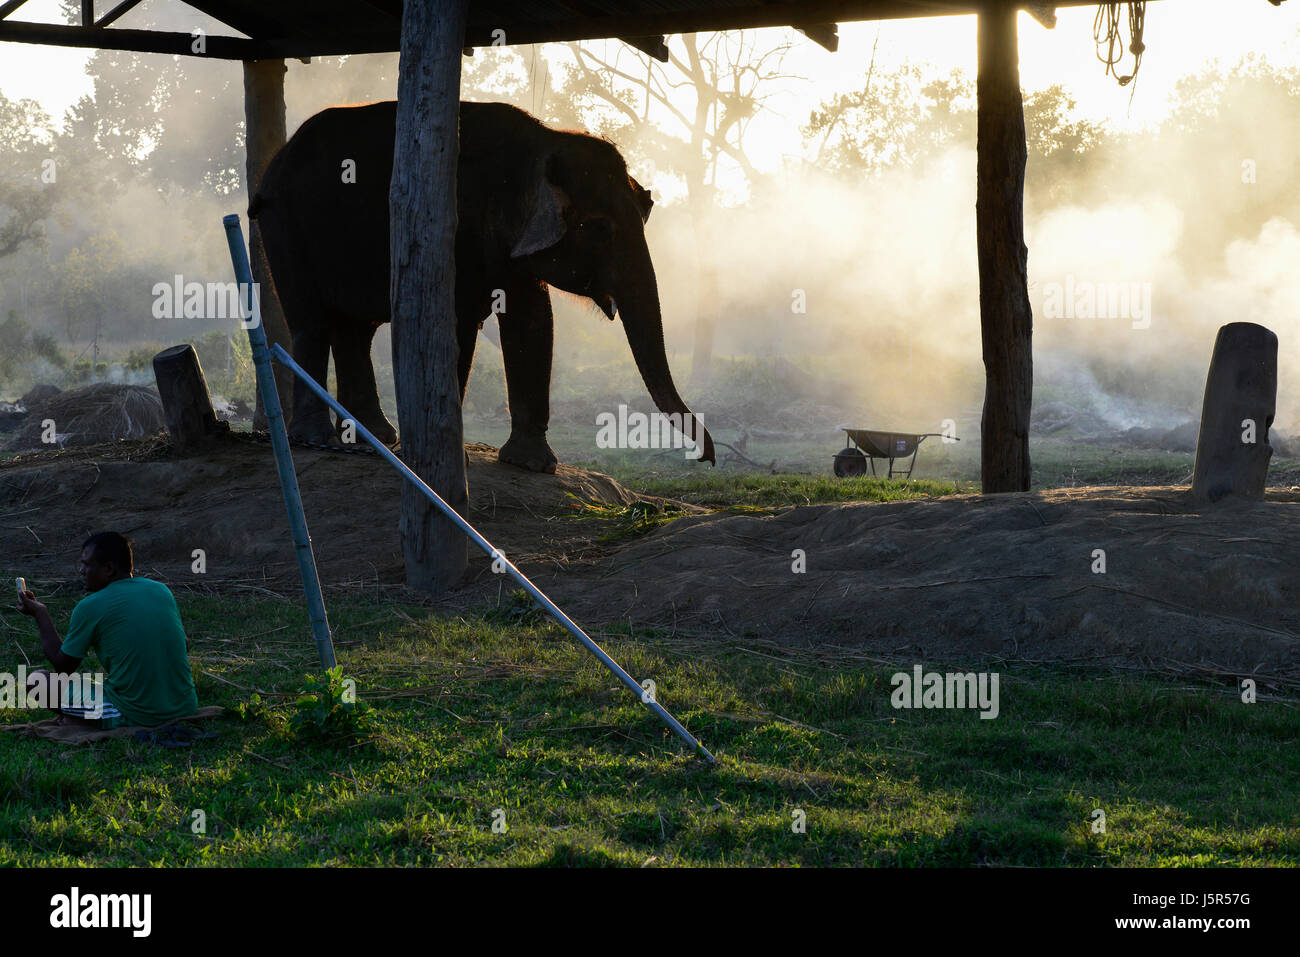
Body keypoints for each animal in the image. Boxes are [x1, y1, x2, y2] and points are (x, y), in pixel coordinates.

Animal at [249, 99, 715, 472]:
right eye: (598, 229)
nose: (706, 457)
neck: (544, 139)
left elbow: (532, 321)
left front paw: (532, 465)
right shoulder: (453, 230)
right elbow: (455, 321)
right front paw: (444, 459)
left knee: (354, 331)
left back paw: (374, 439)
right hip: (283, 224)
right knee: (312, 322)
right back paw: (317, 439)